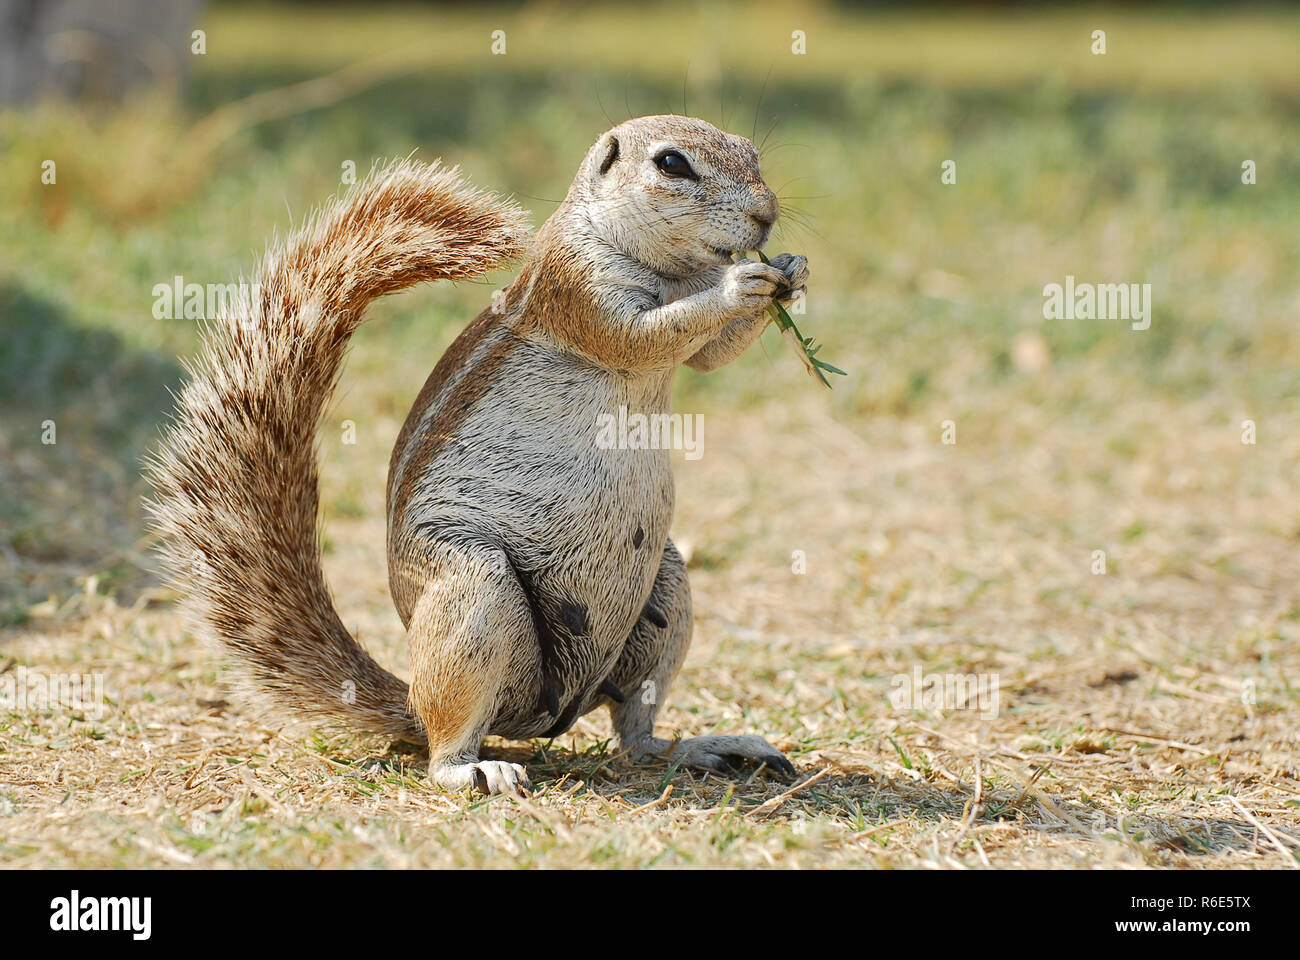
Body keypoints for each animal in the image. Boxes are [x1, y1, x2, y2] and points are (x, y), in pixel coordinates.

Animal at [148, 115, 808, 796]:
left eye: (752, 152)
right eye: (672, 163)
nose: (765, 216)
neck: (669, 269)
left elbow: (710, 356)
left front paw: (791, 271)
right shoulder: (578, 290)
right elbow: (646, 334)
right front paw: (741, 285)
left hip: (666, 584)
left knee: (636, 735)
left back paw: (706, 747)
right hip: (474, 588)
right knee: (451, 742)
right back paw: (473, 767)